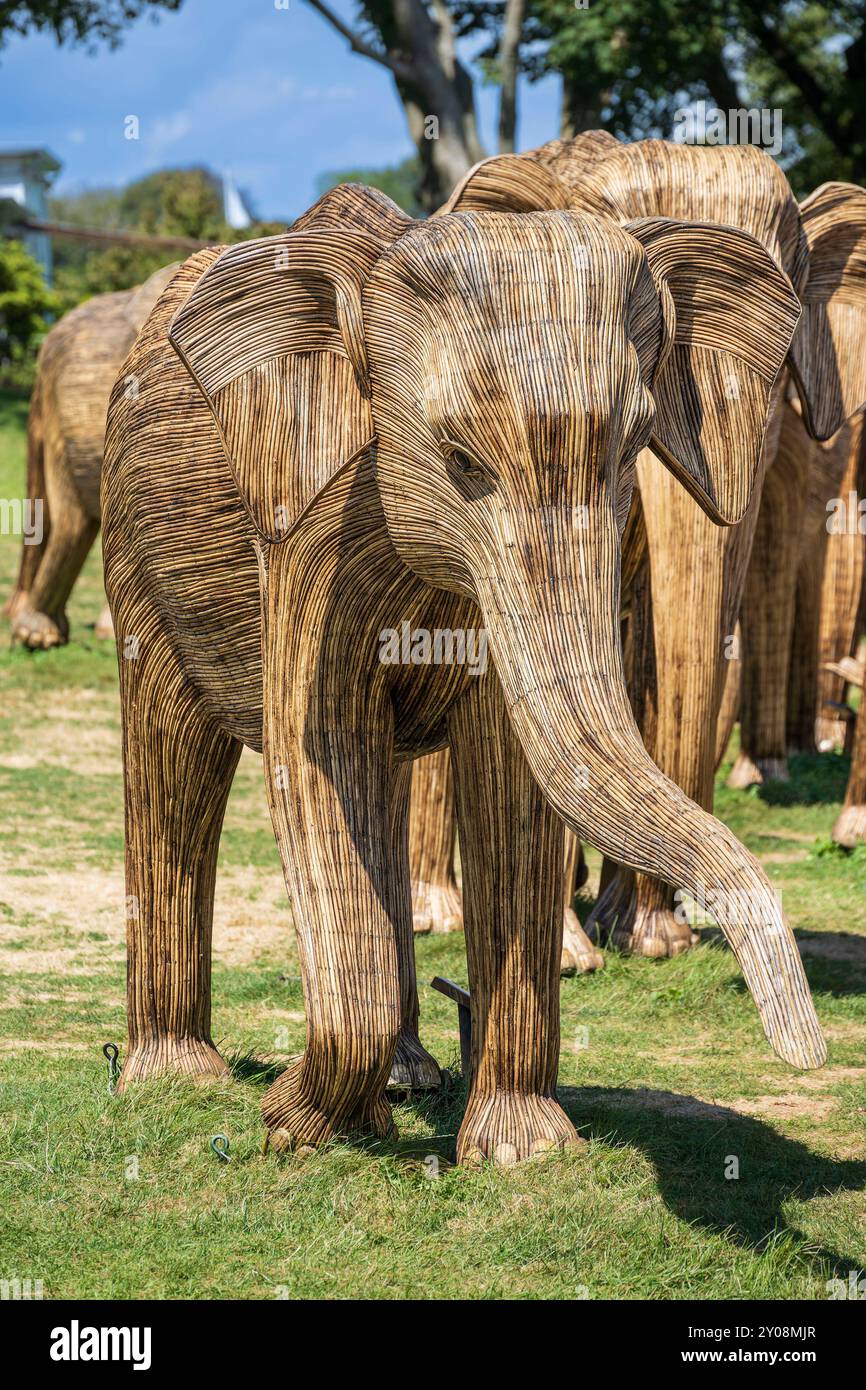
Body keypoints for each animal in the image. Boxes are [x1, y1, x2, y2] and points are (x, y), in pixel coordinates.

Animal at [102, 181, 825, 1165]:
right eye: (459, 459)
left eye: (634, 446)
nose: (809, 1051)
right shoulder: (314, 527)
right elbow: (321, 752)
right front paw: (290, 1125)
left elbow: (515, 786)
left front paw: (526, 1155)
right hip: (137, 549)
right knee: (173, 755)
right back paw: (176, 1081)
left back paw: (406, 1081)